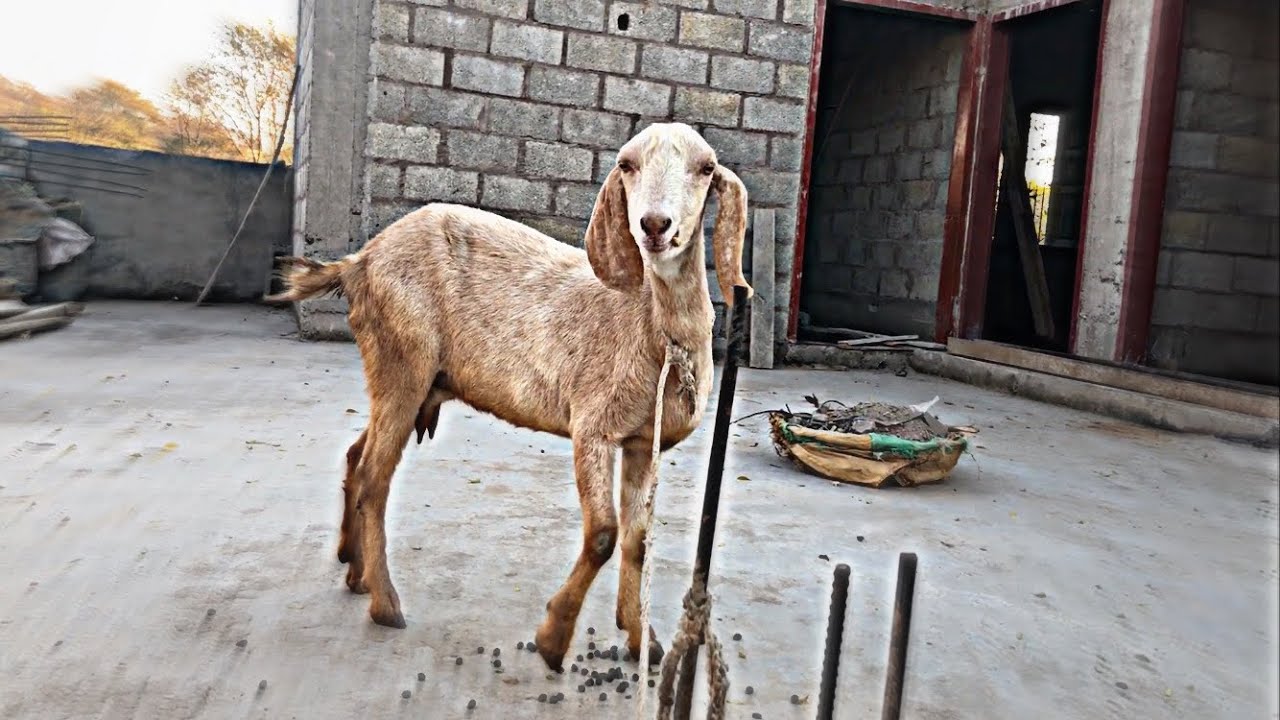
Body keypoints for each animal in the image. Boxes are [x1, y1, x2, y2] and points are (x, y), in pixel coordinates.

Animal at [266, 122, 752, 672]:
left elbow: (638, 540)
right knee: (374, 478)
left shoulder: (642, 443)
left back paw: (355, 571)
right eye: (626, 164)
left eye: (706, 168)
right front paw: (554, 637)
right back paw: (386, 603)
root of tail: (358, 261)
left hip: (406, 376)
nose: (654, 225)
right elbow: (603, 535)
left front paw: (640, 641)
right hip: (402, 359)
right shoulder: (593, 427)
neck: (652, 325)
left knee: (355, 455)